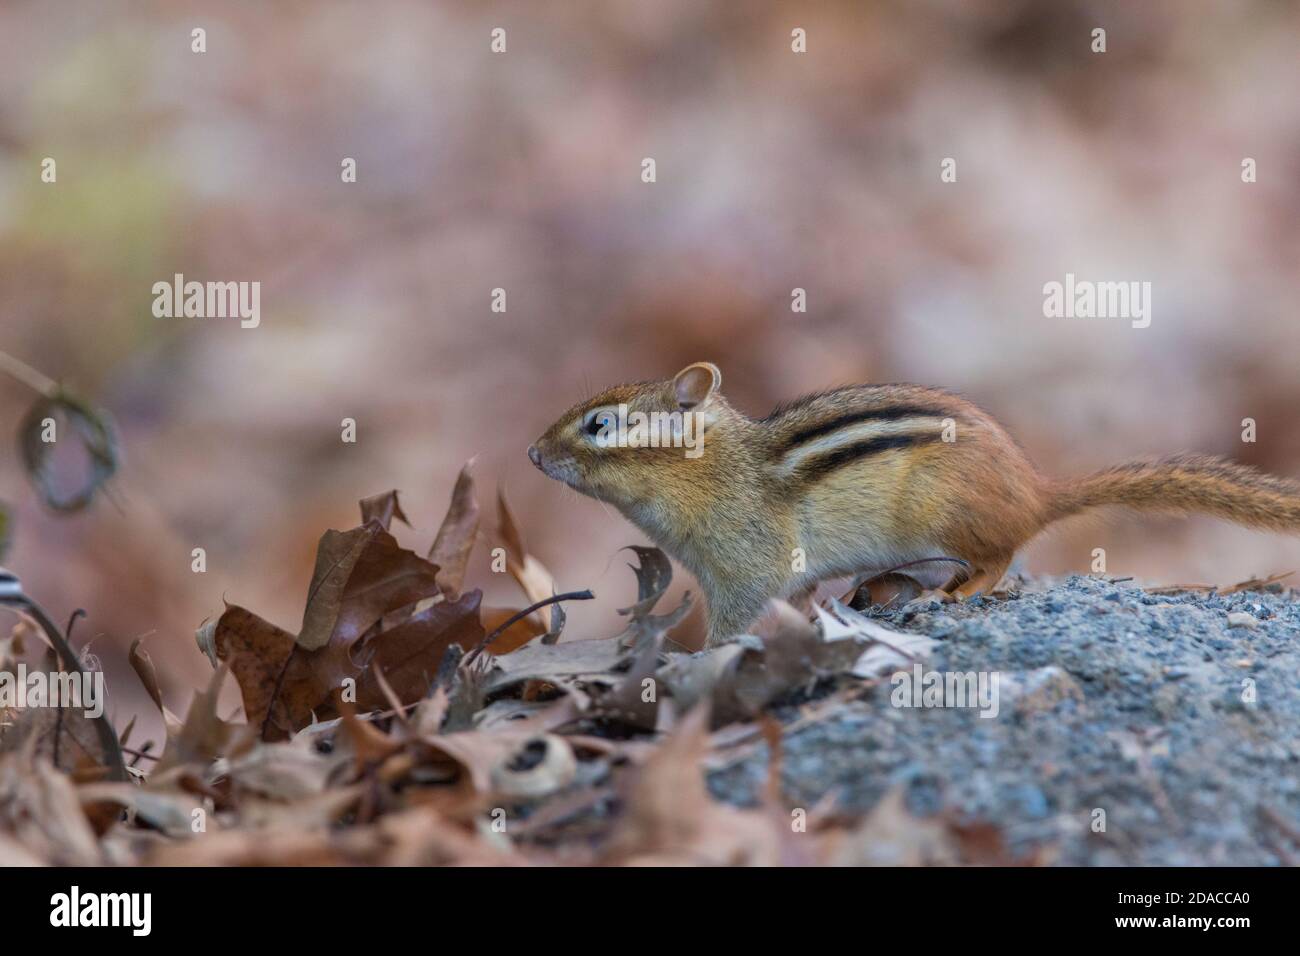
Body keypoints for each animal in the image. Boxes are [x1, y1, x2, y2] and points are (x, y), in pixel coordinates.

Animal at [528, 361, 1300, 646]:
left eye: (600, 426)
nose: (533, 454)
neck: (719, 470)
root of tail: (1034, 492)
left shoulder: (746, 566)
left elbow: (739, 618)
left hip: (942, 513)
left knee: (996, 559)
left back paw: (955, 594)